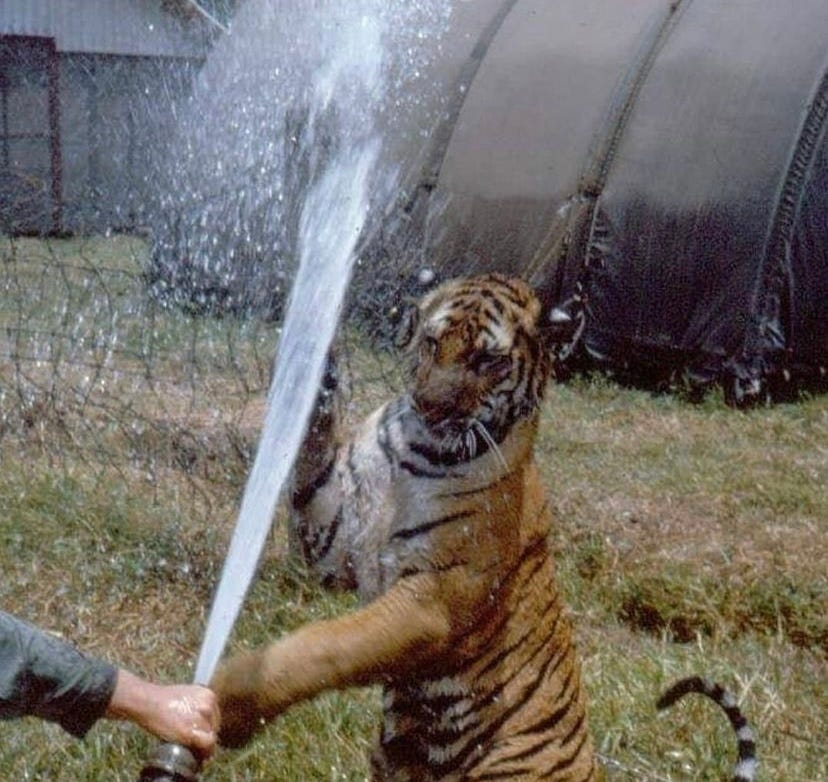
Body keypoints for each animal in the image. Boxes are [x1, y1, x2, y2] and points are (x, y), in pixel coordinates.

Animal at [210, 273, 758, 782]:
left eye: (487, 361)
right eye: (433, 343)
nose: (431, 406)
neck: (417, 451)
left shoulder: (432, 599)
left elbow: (327, 643)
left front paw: (230, 698)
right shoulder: (333, 543)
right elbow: (312, 470)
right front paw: (317, 360)